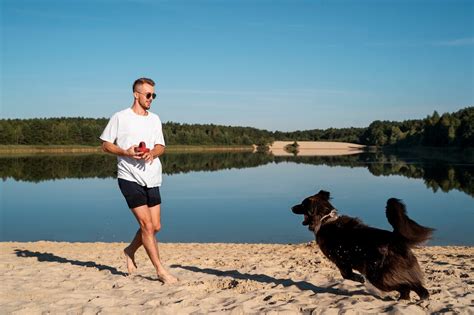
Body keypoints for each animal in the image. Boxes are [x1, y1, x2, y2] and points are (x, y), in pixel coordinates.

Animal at [288, 190, 434, 302]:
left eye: (302, 204)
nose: (291, 207)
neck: (325, 219)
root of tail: (394, 238)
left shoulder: (341, 261)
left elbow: (346, 275)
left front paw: (359, 279)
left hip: (378, 276)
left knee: (407, 285)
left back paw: (414, 298)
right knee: (412, 286)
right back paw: (407, 299)